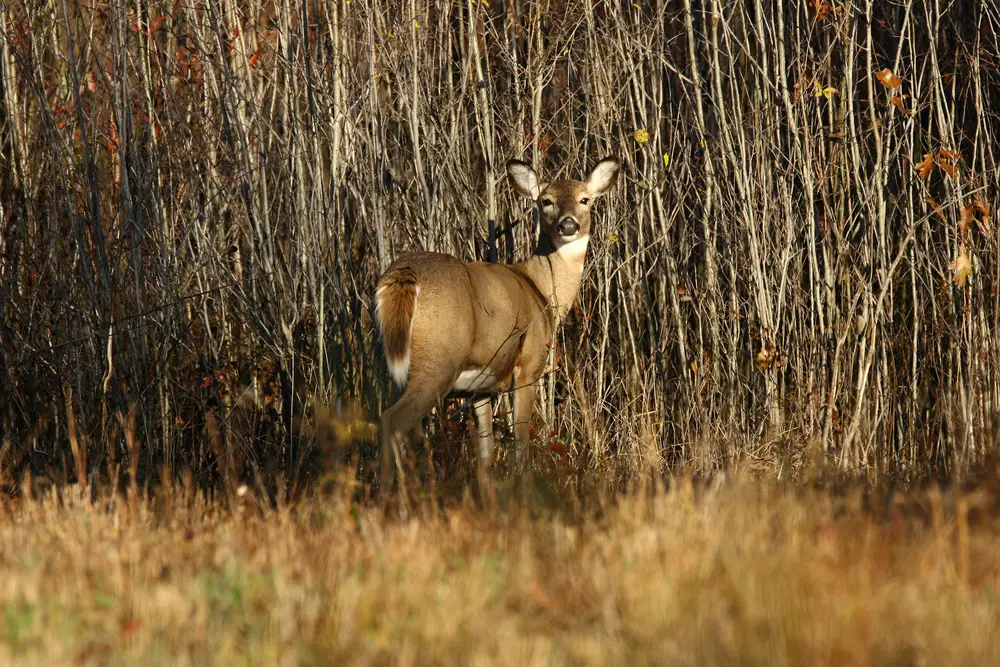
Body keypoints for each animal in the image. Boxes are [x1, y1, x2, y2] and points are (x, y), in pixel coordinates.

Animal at [374, 156, 621, 488]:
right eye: (546, 201)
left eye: (585, 199)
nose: (568, 224)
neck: (541, 291)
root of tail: (403, 274)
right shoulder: (528, 366)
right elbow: (520, 439)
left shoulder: (480, 389)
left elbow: (486, 452)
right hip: (438, 360)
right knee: (392, 421)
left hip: (390, 365)